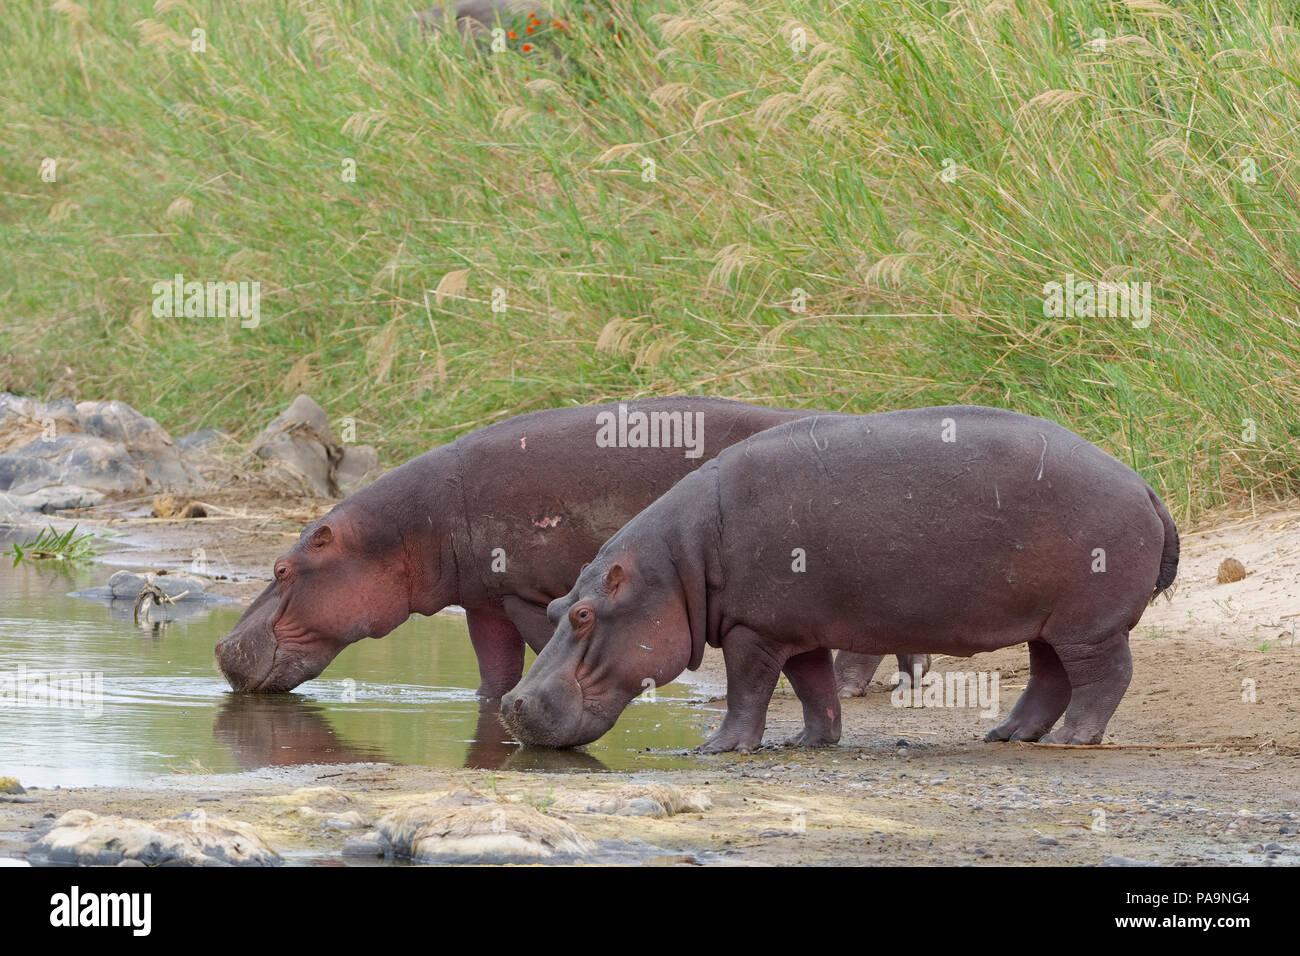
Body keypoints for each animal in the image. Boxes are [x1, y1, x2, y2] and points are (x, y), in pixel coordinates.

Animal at [214, 397, 925, 726]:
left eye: (281, 569)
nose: (220, 646)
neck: (402, 532)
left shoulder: (528, 594)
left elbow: (536, 649)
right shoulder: (486, 599)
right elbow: (493, 667)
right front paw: (490, 703)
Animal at [501, 406, 1180, 752]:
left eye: (584, 614)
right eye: (556, 608)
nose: (509, 704)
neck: (676, 566)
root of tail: (1146, 487)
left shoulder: (751, 629)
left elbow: (748, 690)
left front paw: (720, 747)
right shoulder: (792, 628)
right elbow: (812, 687)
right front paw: (810, 742)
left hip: (1088, 623)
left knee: (1103, 677)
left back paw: (1072, 739)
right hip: (1049, 620)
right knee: (1049, 678)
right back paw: (1007, 734)